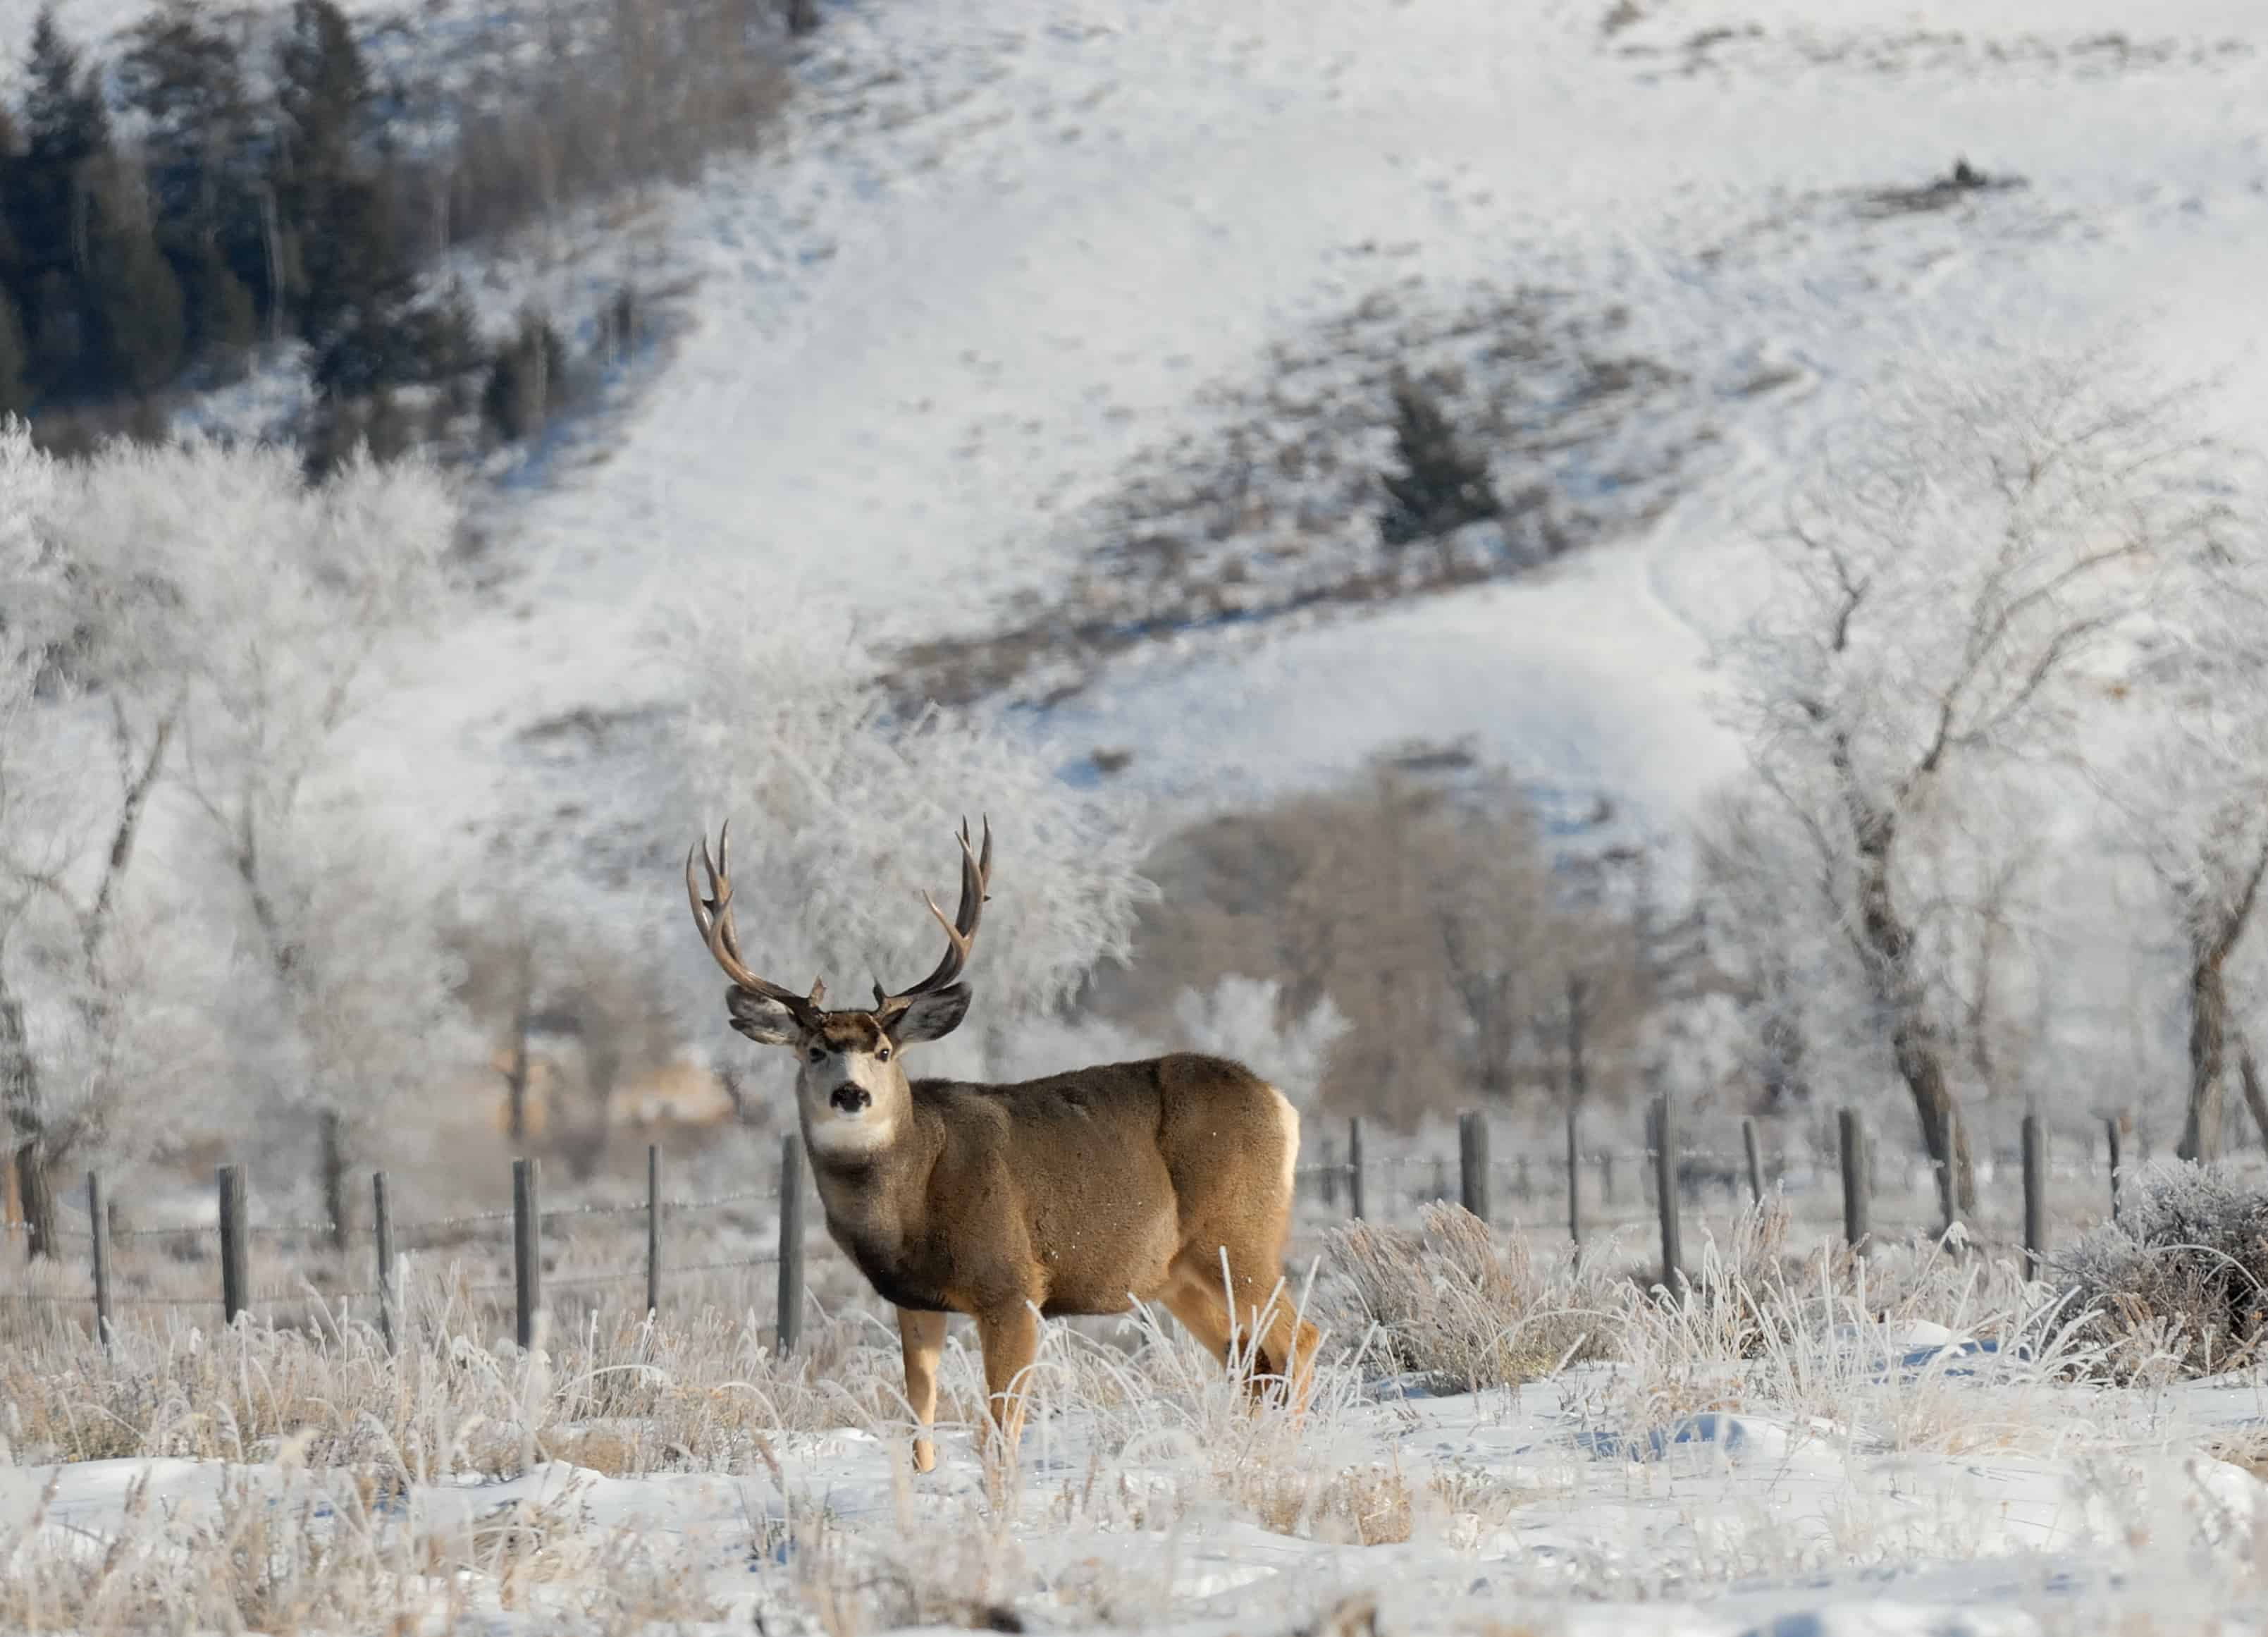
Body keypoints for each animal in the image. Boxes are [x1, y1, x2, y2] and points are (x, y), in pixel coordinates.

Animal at [685, 816, 1320, 1472]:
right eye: (814, 1051)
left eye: (884, 1052)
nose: (851, 1094)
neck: (911, 1199)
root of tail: (1281, 1102)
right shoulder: (914, 1297)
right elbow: (919, 1415)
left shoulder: (1012, 1285)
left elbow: (1001, 1424)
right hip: (1177, 1276)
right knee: (1250, 1362)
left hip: (1238, 1234)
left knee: (1297, 1340)